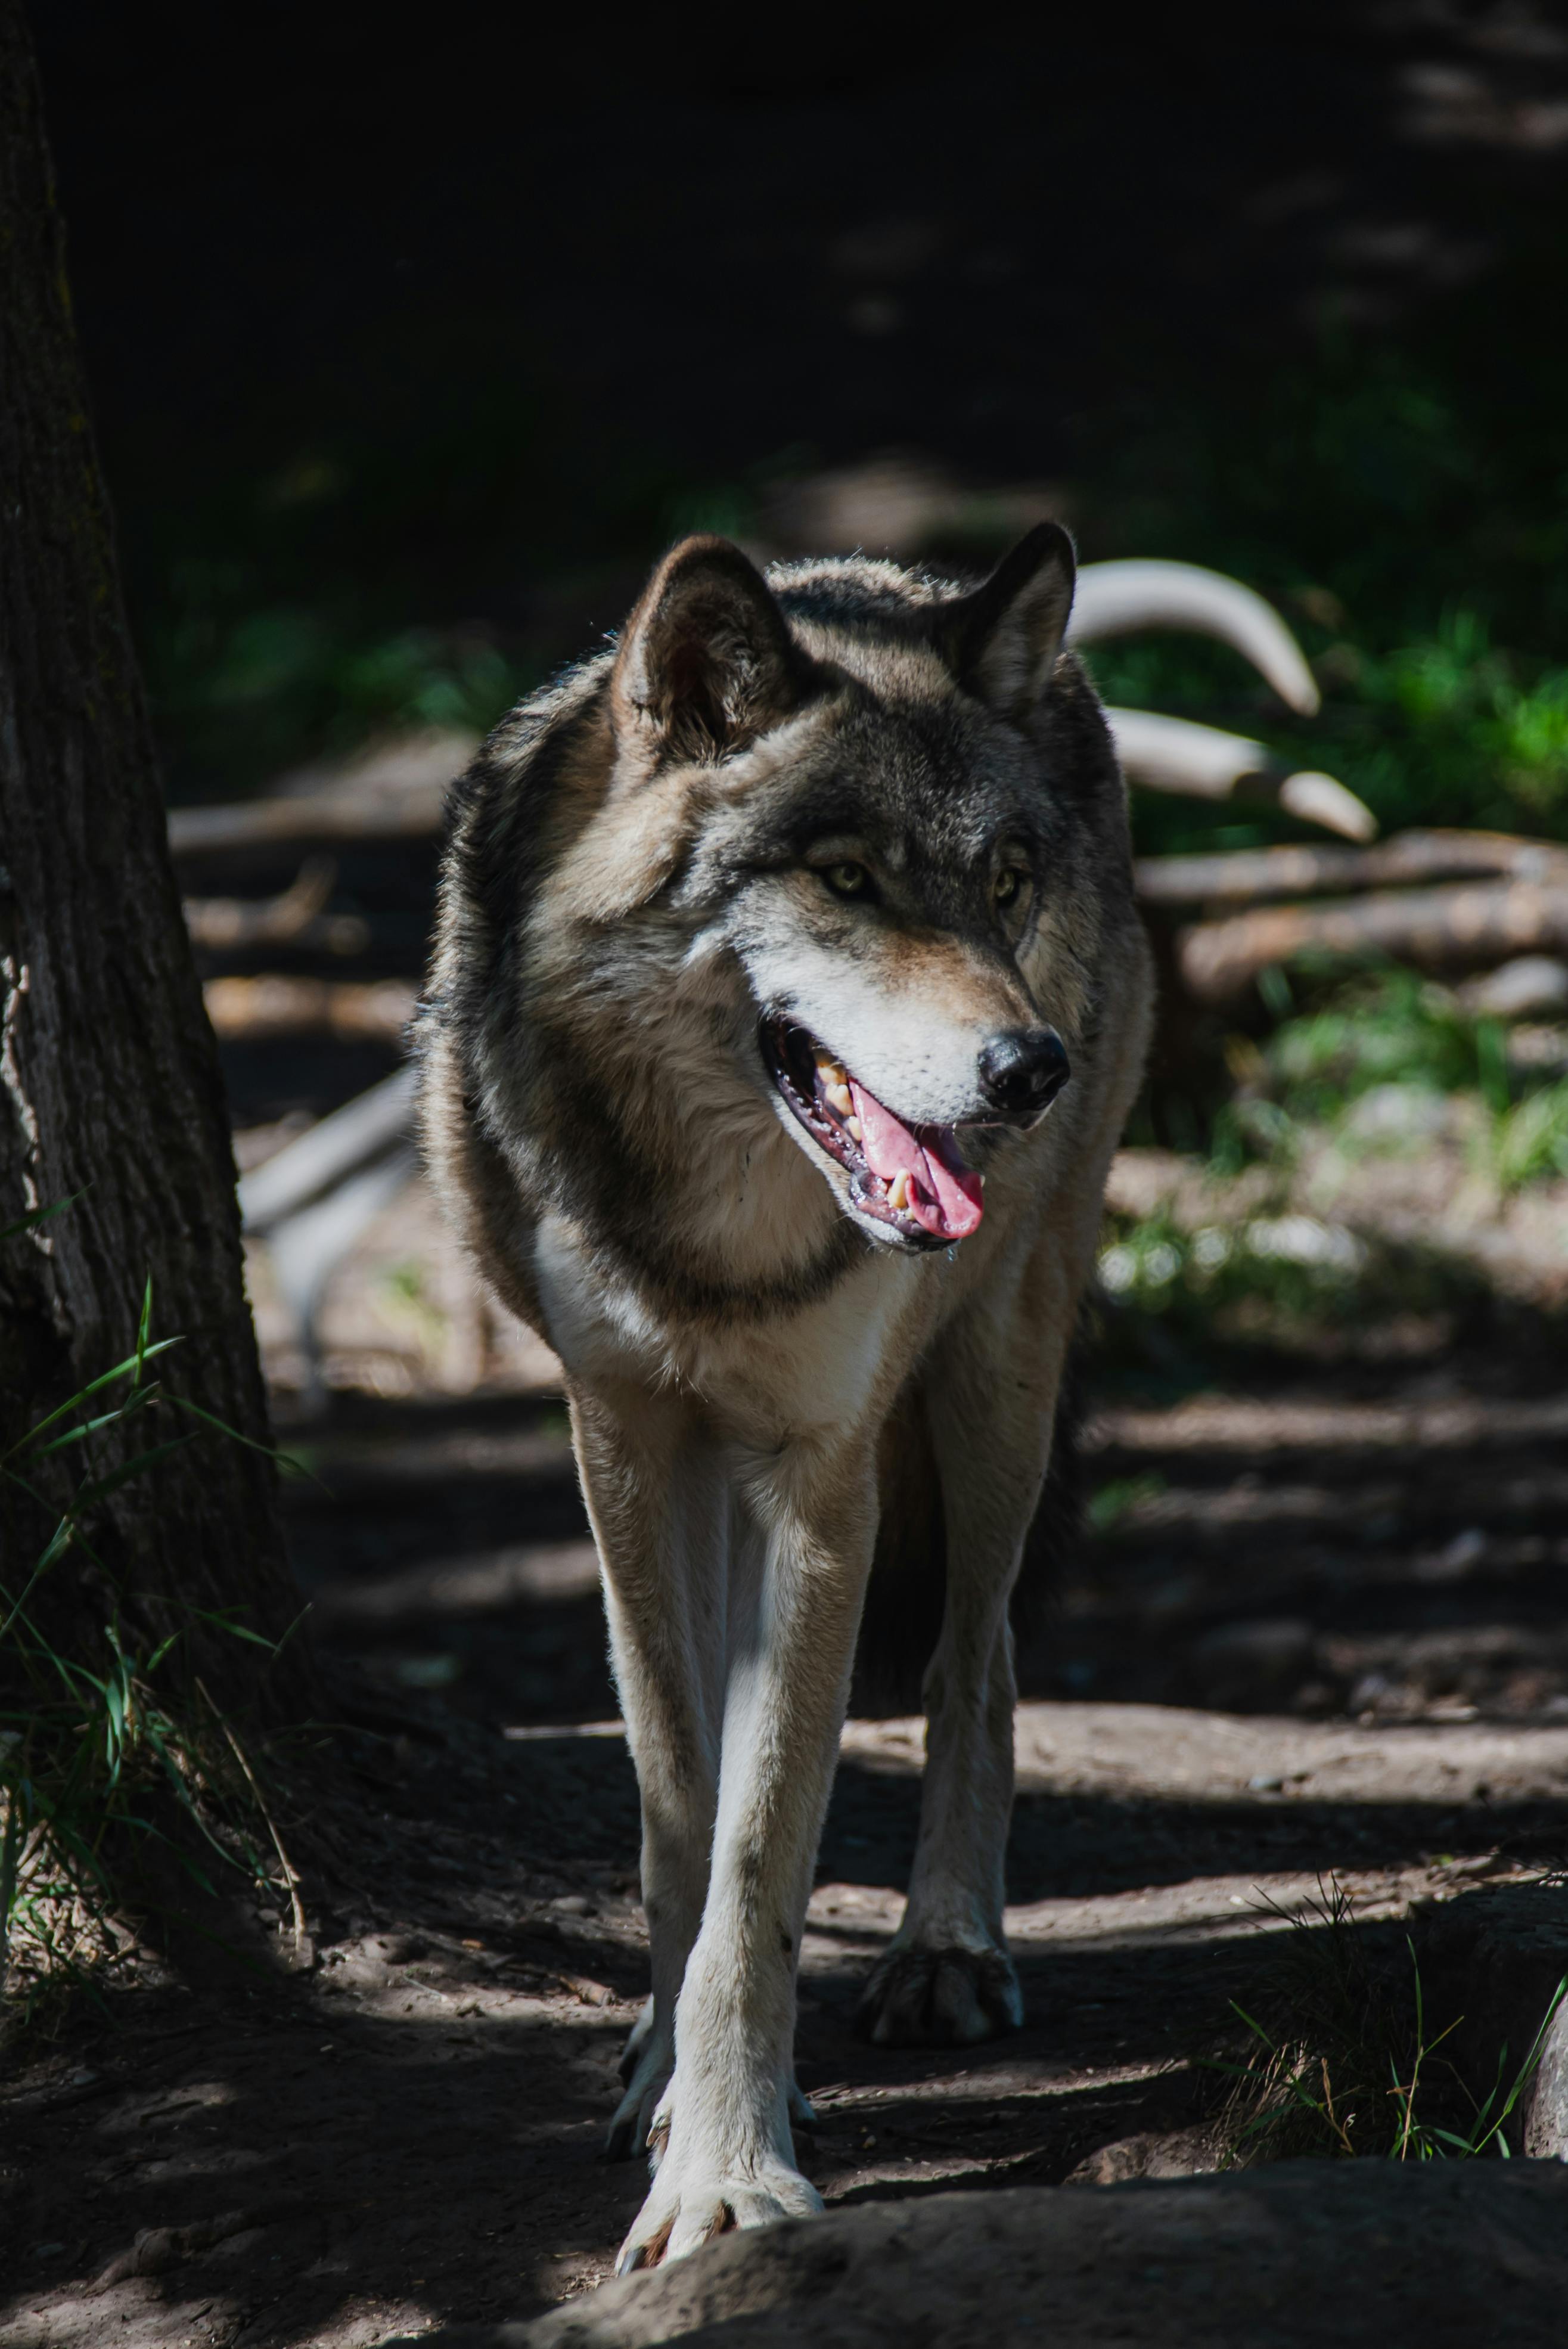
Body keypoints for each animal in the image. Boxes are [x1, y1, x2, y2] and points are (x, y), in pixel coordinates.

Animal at [418, 523, 1154, 2271]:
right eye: (845, 879)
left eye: (999, 884)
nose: (1026, 1067)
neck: (717, 1247)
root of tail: (893, 567)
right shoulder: (626, 1439)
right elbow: (677, 1803)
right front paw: (661, 2088)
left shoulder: (817, 1472)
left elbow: (764, 1846)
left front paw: (723, 2179)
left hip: (993, 1374)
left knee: (977, 1656)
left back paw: (945, 1945)